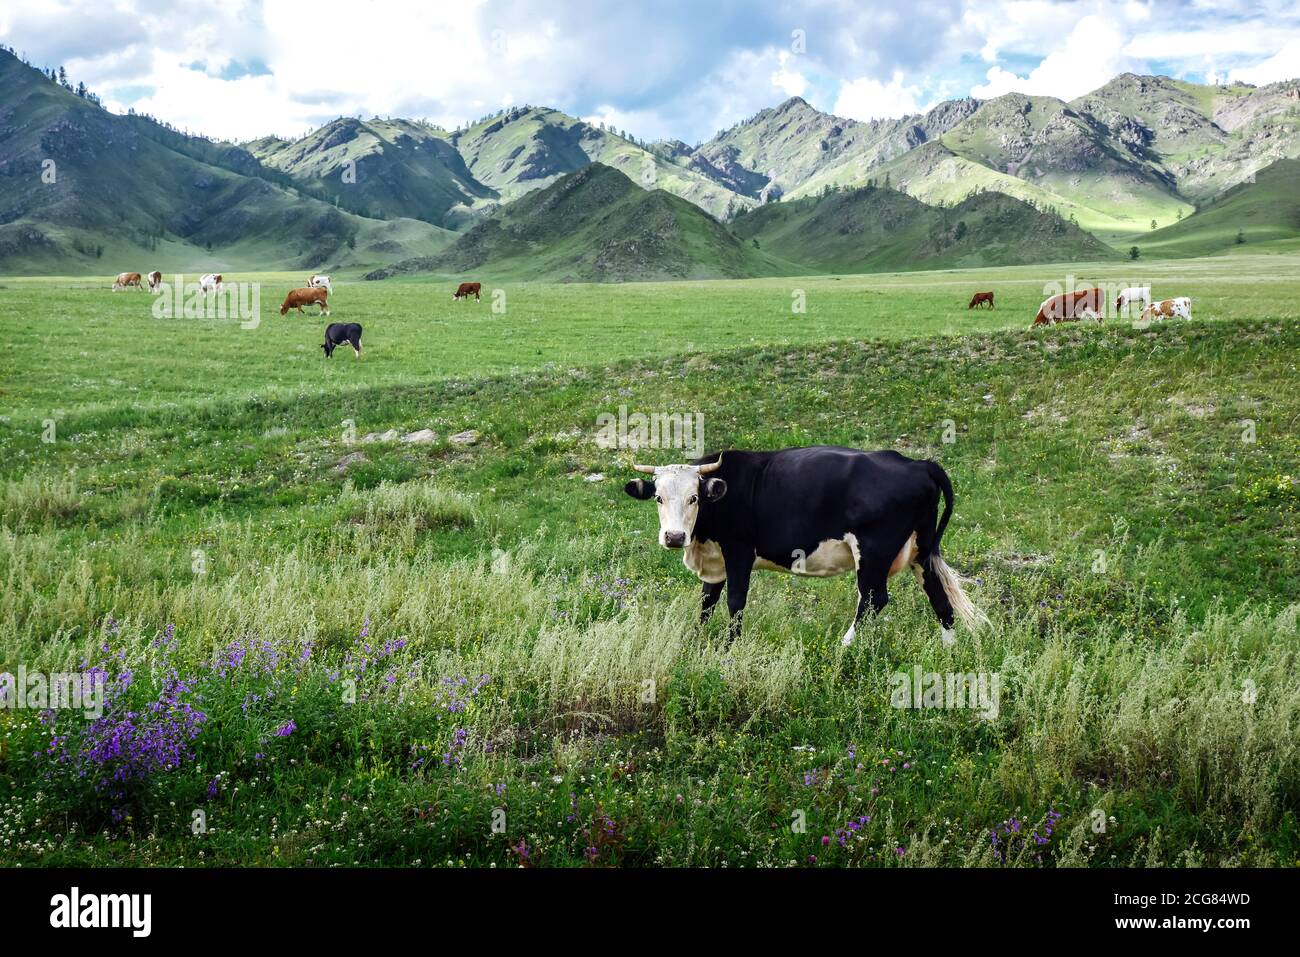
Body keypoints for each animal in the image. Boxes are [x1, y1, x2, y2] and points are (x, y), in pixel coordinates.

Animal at [623, 447, 989, 646]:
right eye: (658, 497)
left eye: (694, 497)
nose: (674, 537)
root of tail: (918, 463)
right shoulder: (715, 563)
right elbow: (706, 605)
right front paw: (695, 642)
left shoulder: (739, 551)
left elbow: (734, 603)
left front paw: (728, 648)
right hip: (920, 552)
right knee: (940, 599)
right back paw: (948, 650)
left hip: (874, 553)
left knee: (874, 599)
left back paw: (844, 646)